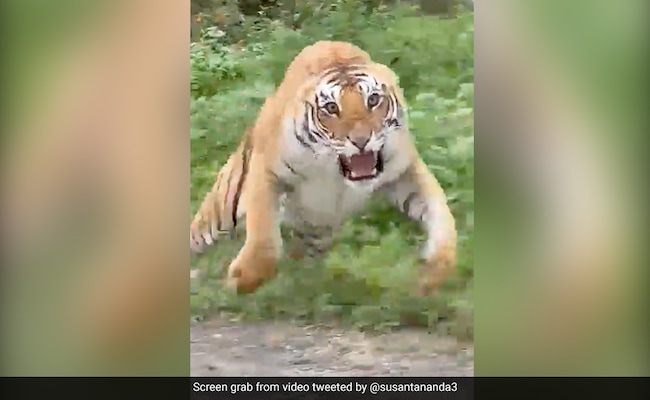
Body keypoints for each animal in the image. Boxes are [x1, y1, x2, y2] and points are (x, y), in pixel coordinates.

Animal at [190, 41, 457, 296]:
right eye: (331, 108)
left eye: (373, 100)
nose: (361, 140)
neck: (335, 172)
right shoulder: (266, 171)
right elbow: (263, 232)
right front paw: (244, 279)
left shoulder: (405, 169)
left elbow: (440, 213)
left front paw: (434, 271)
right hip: (220, 210)